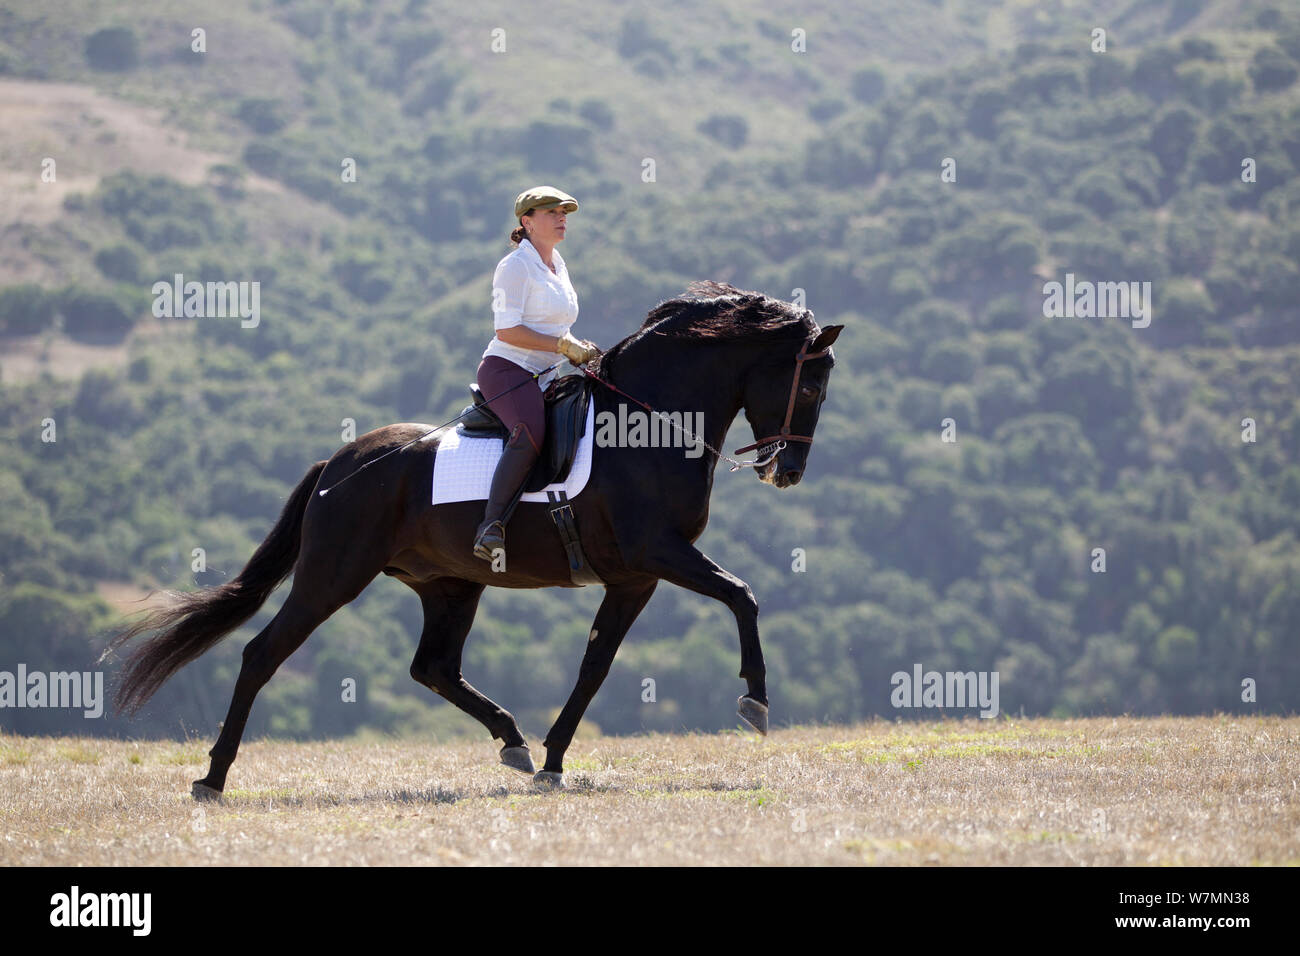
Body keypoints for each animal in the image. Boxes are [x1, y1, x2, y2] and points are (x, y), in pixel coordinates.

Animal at [105, 280, 842, 797]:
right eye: (812, 386)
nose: (789, 472)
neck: (647, 427)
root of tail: (338, 464)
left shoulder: (635, 578)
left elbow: (594, 667)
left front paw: (552, 760)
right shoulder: (657, 555)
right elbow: (742, 595)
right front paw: (755, 701)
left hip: (451, 585)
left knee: (433, 667)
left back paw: (512, 740)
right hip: (333, 576)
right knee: (263, 653)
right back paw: (212, 778)